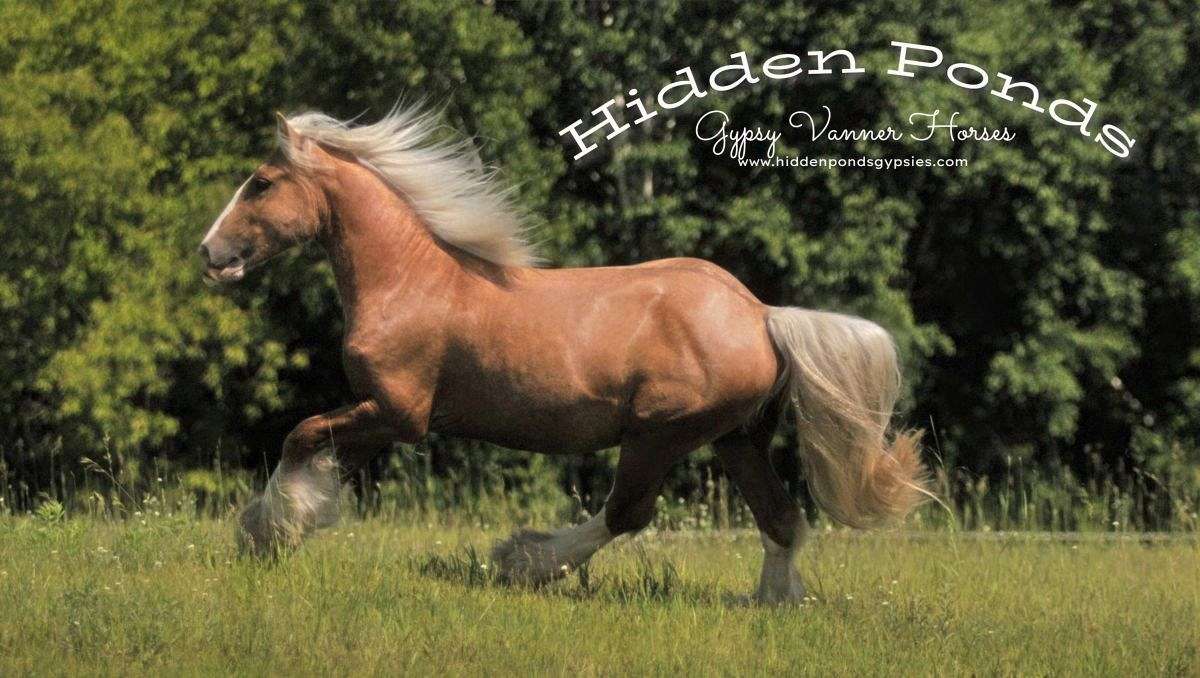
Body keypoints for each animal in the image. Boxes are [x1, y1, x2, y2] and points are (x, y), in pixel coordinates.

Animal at [198, 105, 928, 603]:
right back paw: (773, 603)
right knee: (780, 519)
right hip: (736, 437)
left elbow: (298, 436)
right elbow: (321, 458)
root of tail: (761, 315)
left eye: (261, 183)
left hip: (661, 433)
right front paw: (284, 529)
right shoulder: (379, 414)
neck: (409, 280)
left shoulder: (398, 413)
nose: (209, 254)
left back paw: (521, 561)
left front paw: (263, 533)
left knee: (627, 513)